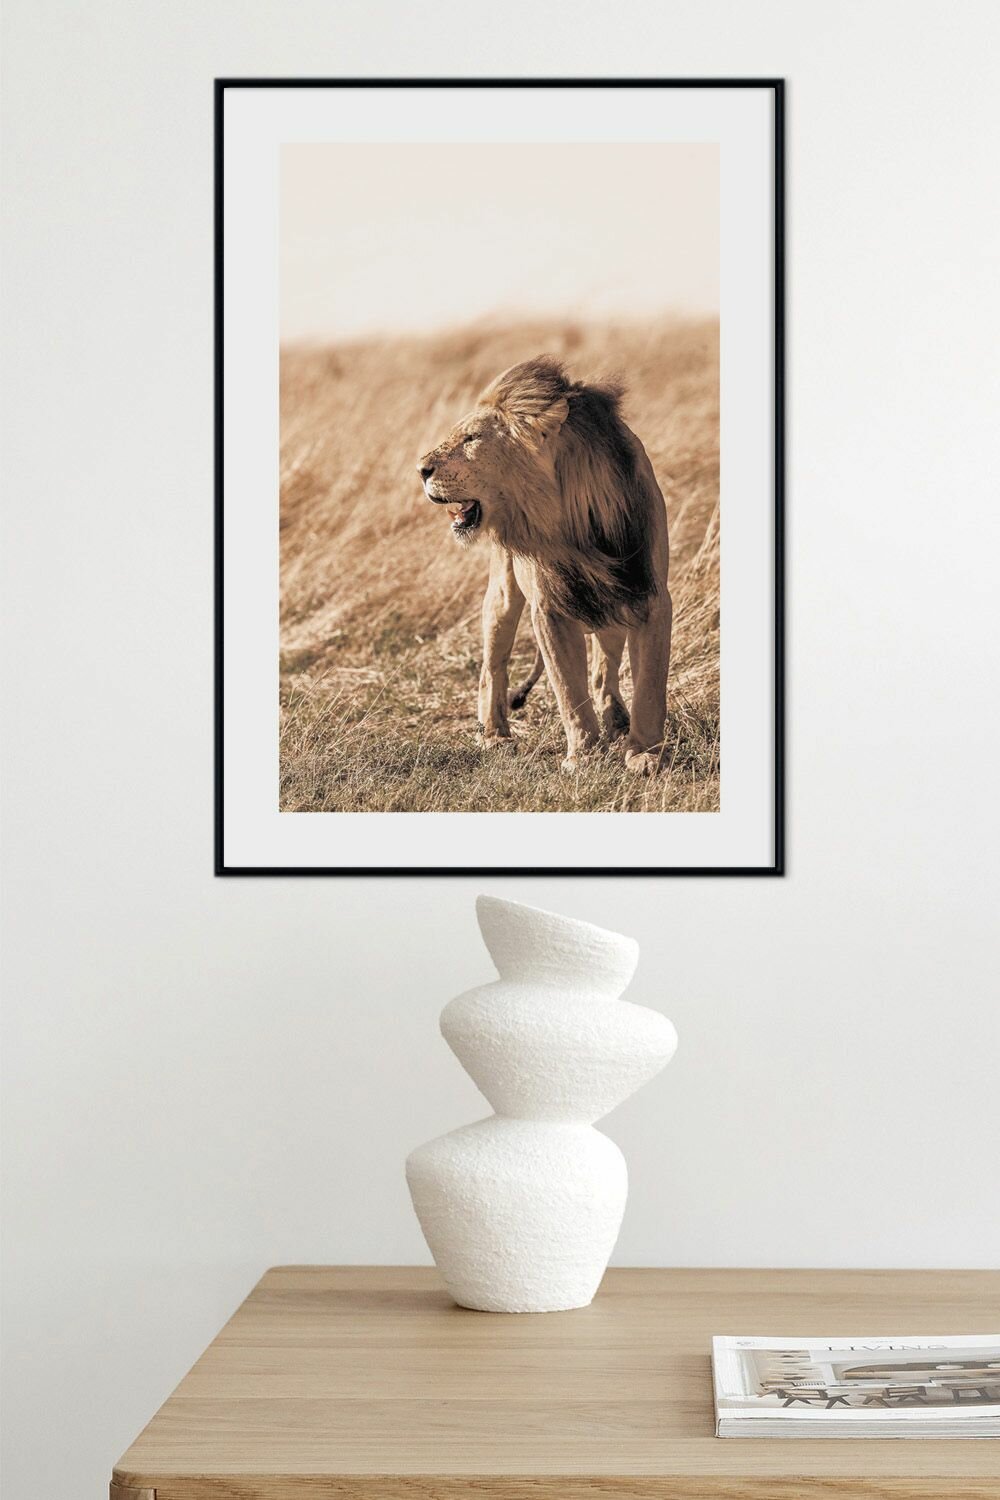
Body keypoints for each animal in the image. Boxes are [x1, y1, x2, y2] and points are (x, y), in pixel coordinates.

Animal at [417, 357, 672, 775]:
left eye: (471, 438)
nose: (420, 470)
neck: (572, 522)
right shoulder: (549, 608)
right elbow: (568, 688)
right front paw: (584, 757)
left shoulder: (648, 594)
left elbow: (650, 683)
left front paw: (645, 754)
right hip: (503, 594)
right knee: (492, 666)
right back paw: (495, 735)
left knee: (603, 669)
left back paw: (617, 720)